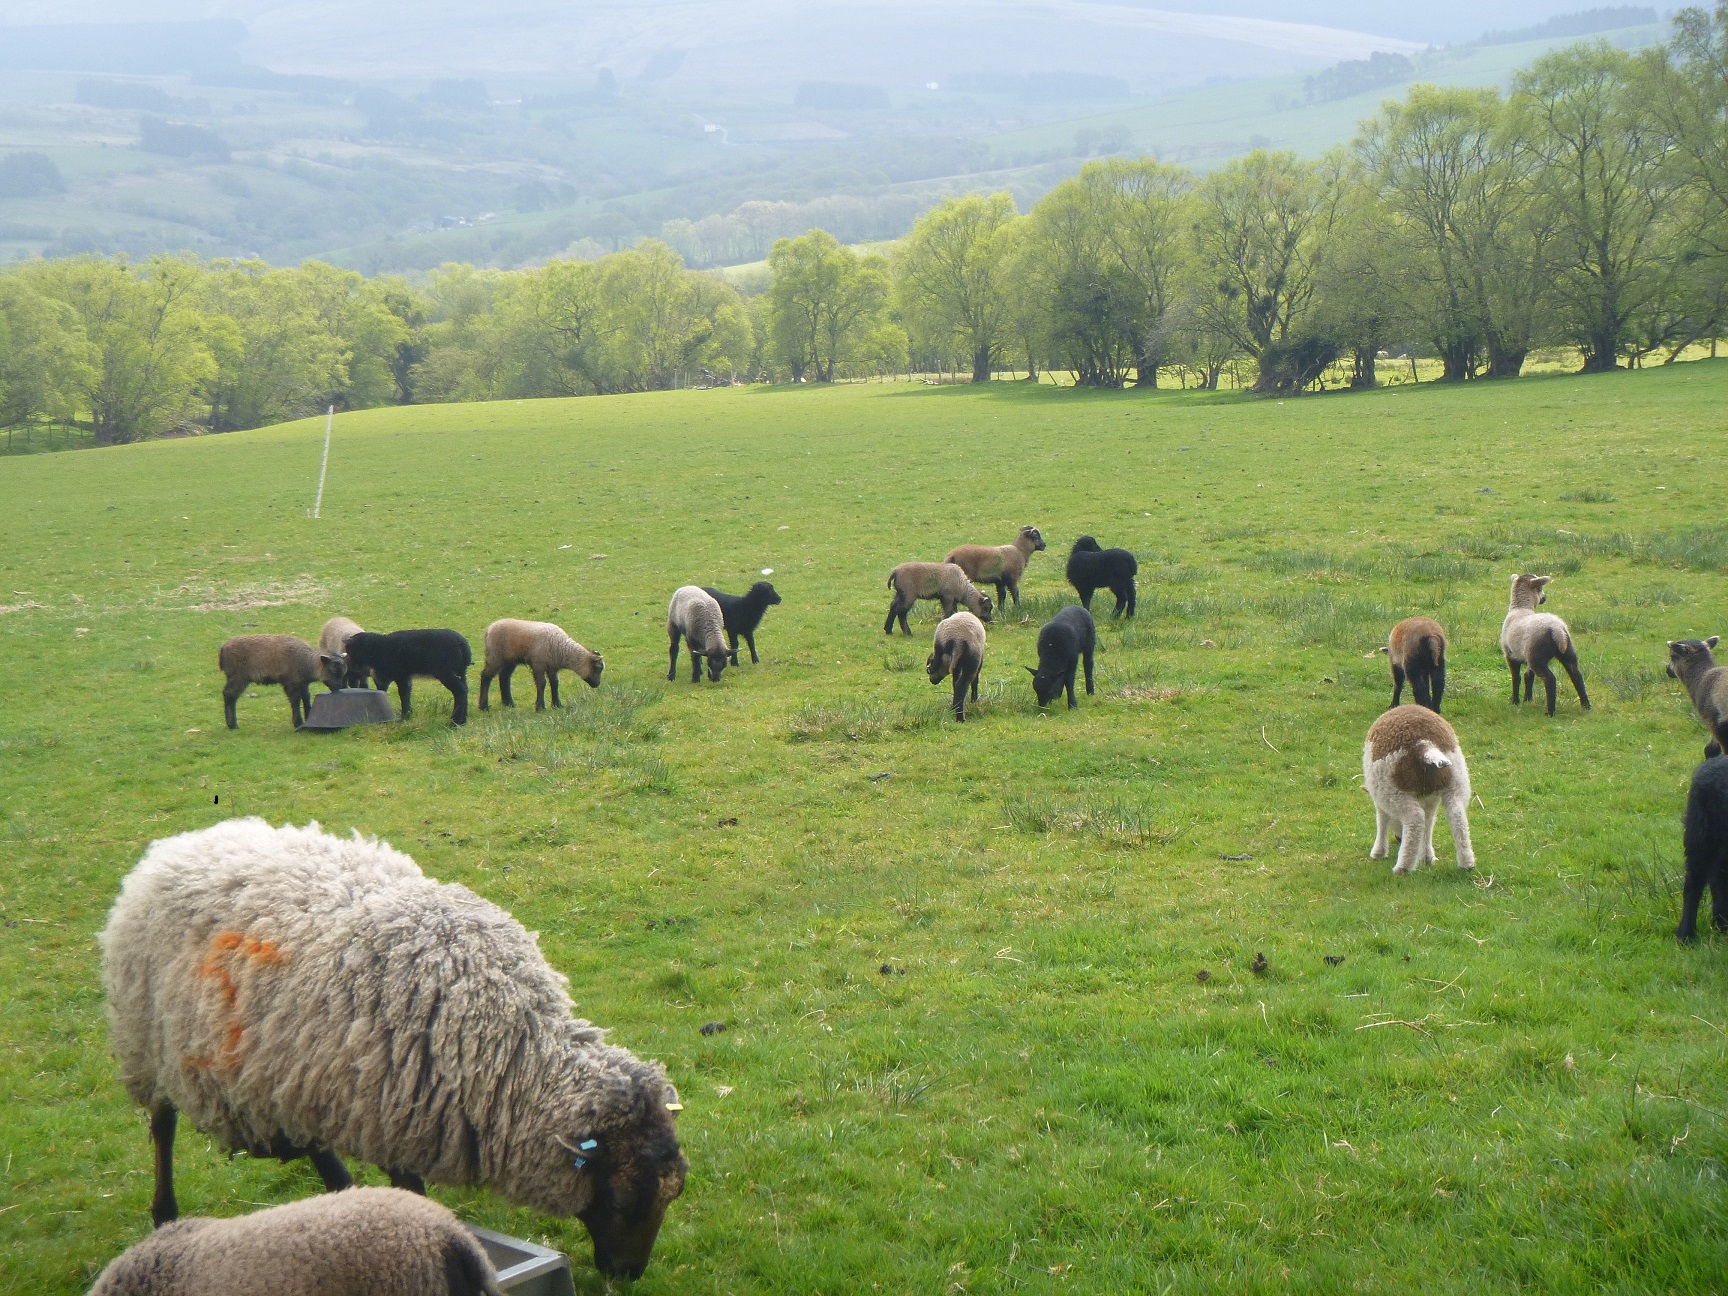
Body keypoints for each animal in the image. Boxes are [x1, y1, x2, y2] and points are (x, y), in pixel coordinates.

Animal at [100, 818, 688, 1280]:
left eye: (671, 1197)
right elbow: (411, 1190)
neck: (506, 1050)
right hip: (145, 1040)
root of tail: (175, 845)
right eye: (620, 1201)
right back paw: (165, 1212)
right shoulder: (397, 1109)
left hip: (292, 1068)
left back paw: (340, 1187)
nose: (627, 1275)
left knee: (307, 1137)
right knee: (162, 1128)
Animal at [217, 635, 347, 731]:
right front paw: (298, 723)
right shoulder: (290, 683)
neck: (307, 663)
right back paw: (232, 724)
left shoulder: (302, 683)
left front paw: (308, 717)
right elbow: (295, 700)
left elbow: (306, 697)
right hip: (238, 677)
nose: (338, 688)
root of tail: (223, 648)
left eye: (343, 672)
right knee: (229, 694)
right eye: (332, 670)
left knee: (232, 696)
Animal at [343, 629, 472, 725]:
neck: (379, 648)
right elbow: (406, 693)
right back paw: (463, 720)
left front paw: (404, 717)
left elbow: (403, 693)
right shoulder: (403, 676)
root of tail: (463, 645)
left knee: (460, 691)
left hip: (446, 672)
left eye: (350, 651)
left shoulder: (400, 675)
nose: (348, 663)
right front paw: (407, 716)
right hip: (461, 671)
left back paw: (454, 722)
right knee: (465, 690)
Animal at [1362, 705, 1476, 875]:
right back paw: (1467, 863)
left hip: (1390, 788)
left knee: (1415, 818)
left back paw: (1403, 867)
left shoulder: (1380, 798)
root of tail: (1424, 745)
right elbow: (1429, 822)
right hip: (1457, 778)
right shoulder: (1431, 798)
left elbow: (1382, 819)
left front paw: (1378, 853)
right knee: (1457, 816)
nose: (1398, 839)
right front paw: (1427, 857)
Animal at [1499, 574, 1590, 715]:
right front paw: (1527, 700)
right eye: (1540, 588)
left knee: (1550, 679)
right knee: (1576, 675)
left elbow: (1516, 678)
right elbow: (1528, 676)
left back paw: (1550, 712)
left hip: (1538, 656)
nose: (1545, 598)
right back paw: (1586, 706)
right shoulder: (1527, 657)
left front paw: (1515, 701)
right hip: (1567, 652)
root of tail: (1557, 629)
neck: (1520, 609)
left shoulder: (1510, 654)